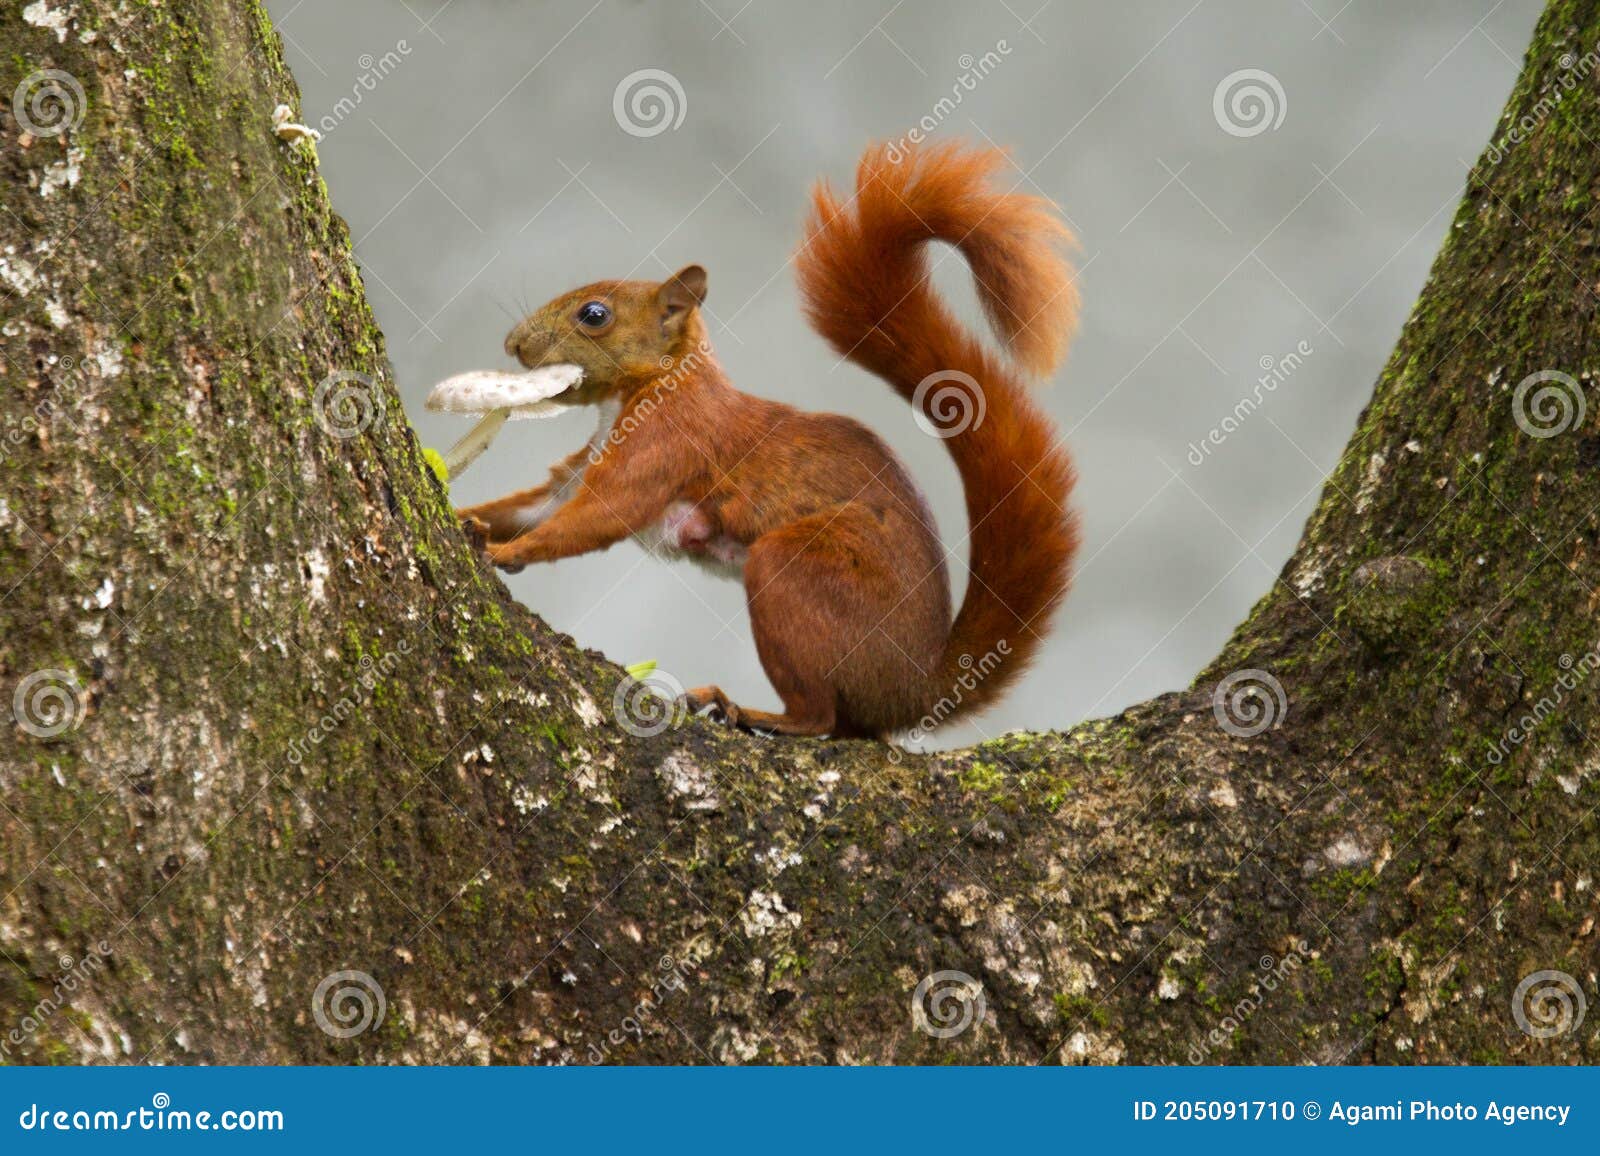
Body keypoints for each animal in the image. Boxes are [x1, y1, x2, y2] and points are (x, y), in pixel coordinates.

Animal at [457, 142, 1080, 739]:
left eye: (594, 315)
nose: (513, 344)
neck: (653, 390)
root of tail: (914, 690)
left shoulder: (666, 445)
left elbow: (593, 517)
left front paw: (504, 553)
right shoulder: (582, 468)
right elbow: (538, 507)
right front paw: (468, 516)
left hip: (795, 570)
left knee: (820, 718)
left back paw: (748, 709)